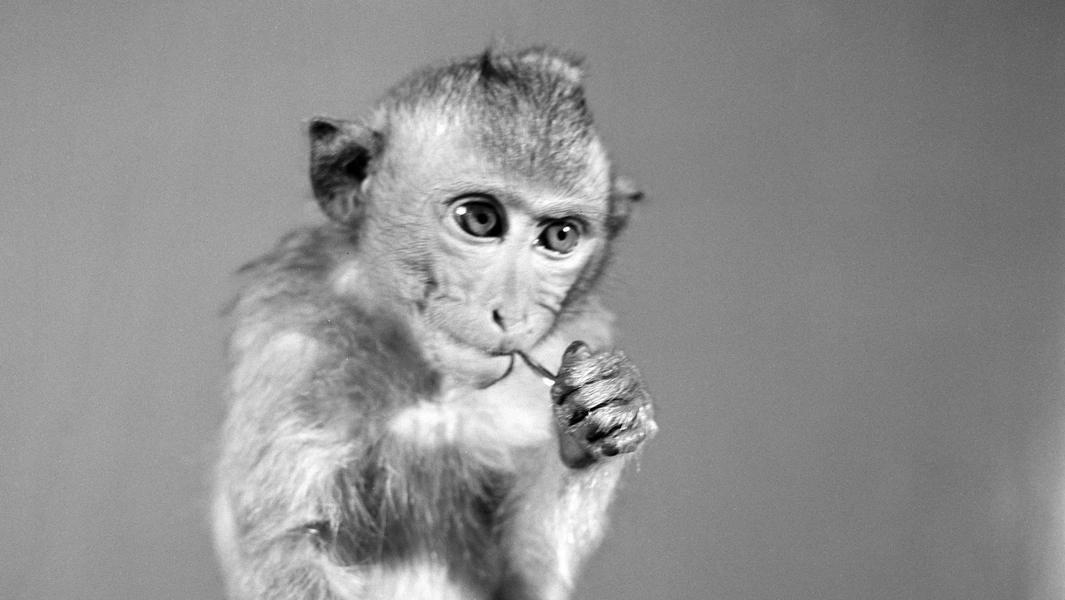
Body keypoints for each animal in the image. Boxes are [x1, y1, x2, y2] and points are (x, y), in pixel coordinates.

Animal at [212, 47, 657, 600]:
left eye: (560, 235)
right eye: (481, 220)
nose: (513, 314)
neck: (431, 376)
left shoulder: (563, 347)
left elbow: (529, 573)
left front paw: (606, 407)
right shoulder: (293, 345)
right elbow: (283, 549)